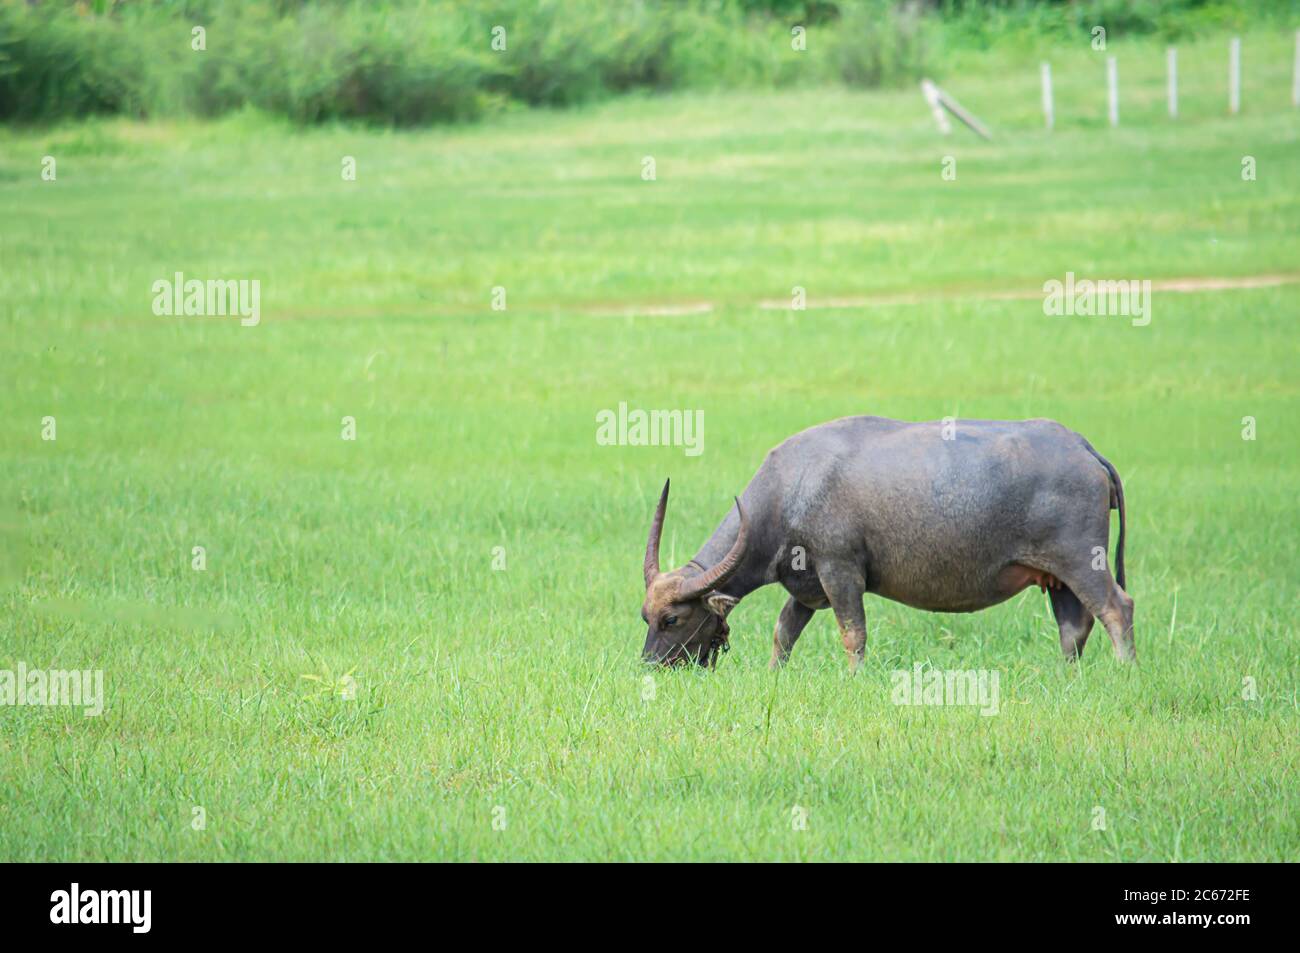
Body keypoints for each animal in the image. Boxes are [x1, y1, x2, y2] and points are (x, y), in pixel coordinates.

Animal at [644, 416, 1133, 670]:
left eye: (672, 619)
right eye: (644, 616)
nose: (650, 665)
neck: (789, 490)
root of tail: (1083, 448)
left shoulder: (840, 570)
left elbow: (853, 634)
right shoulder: (807, 588)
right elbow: (783, 633)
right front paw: (773, 676)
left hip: (1081, 561)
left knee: (1116, 609)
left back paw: (1124, 671)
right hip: (1057, 578)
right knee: (1073, 629)